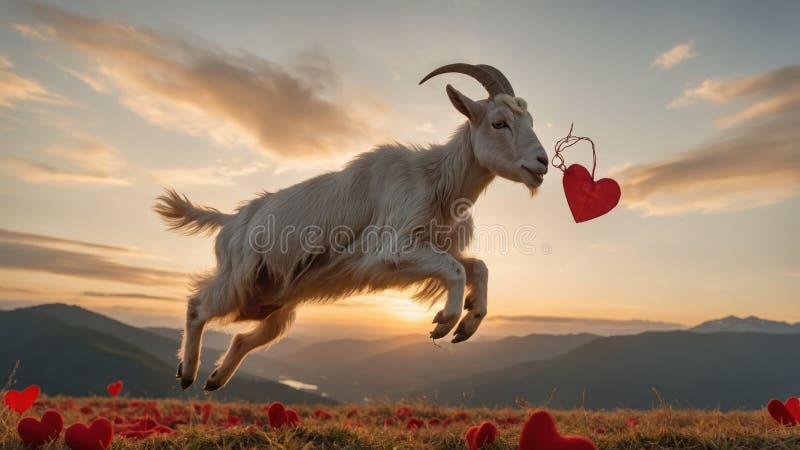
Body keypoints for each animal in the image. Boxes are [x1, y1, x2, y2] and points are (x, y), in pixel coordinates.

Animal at [154, 63, 549, 391]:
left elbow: (476, 266)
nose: (542, 163)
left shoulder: (433, 247)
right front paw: (444, 321)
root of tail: (230, 219)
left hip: (271, 302)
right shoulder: (392, 248)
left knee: (244, 337)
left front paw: (469, 322)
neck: (437, 179)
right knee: (197, 305)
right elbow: (455, 269)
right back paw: (188, 373)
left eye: (530, 120)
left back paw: (214, 380)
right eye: (499, 122)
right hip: (239, 280)